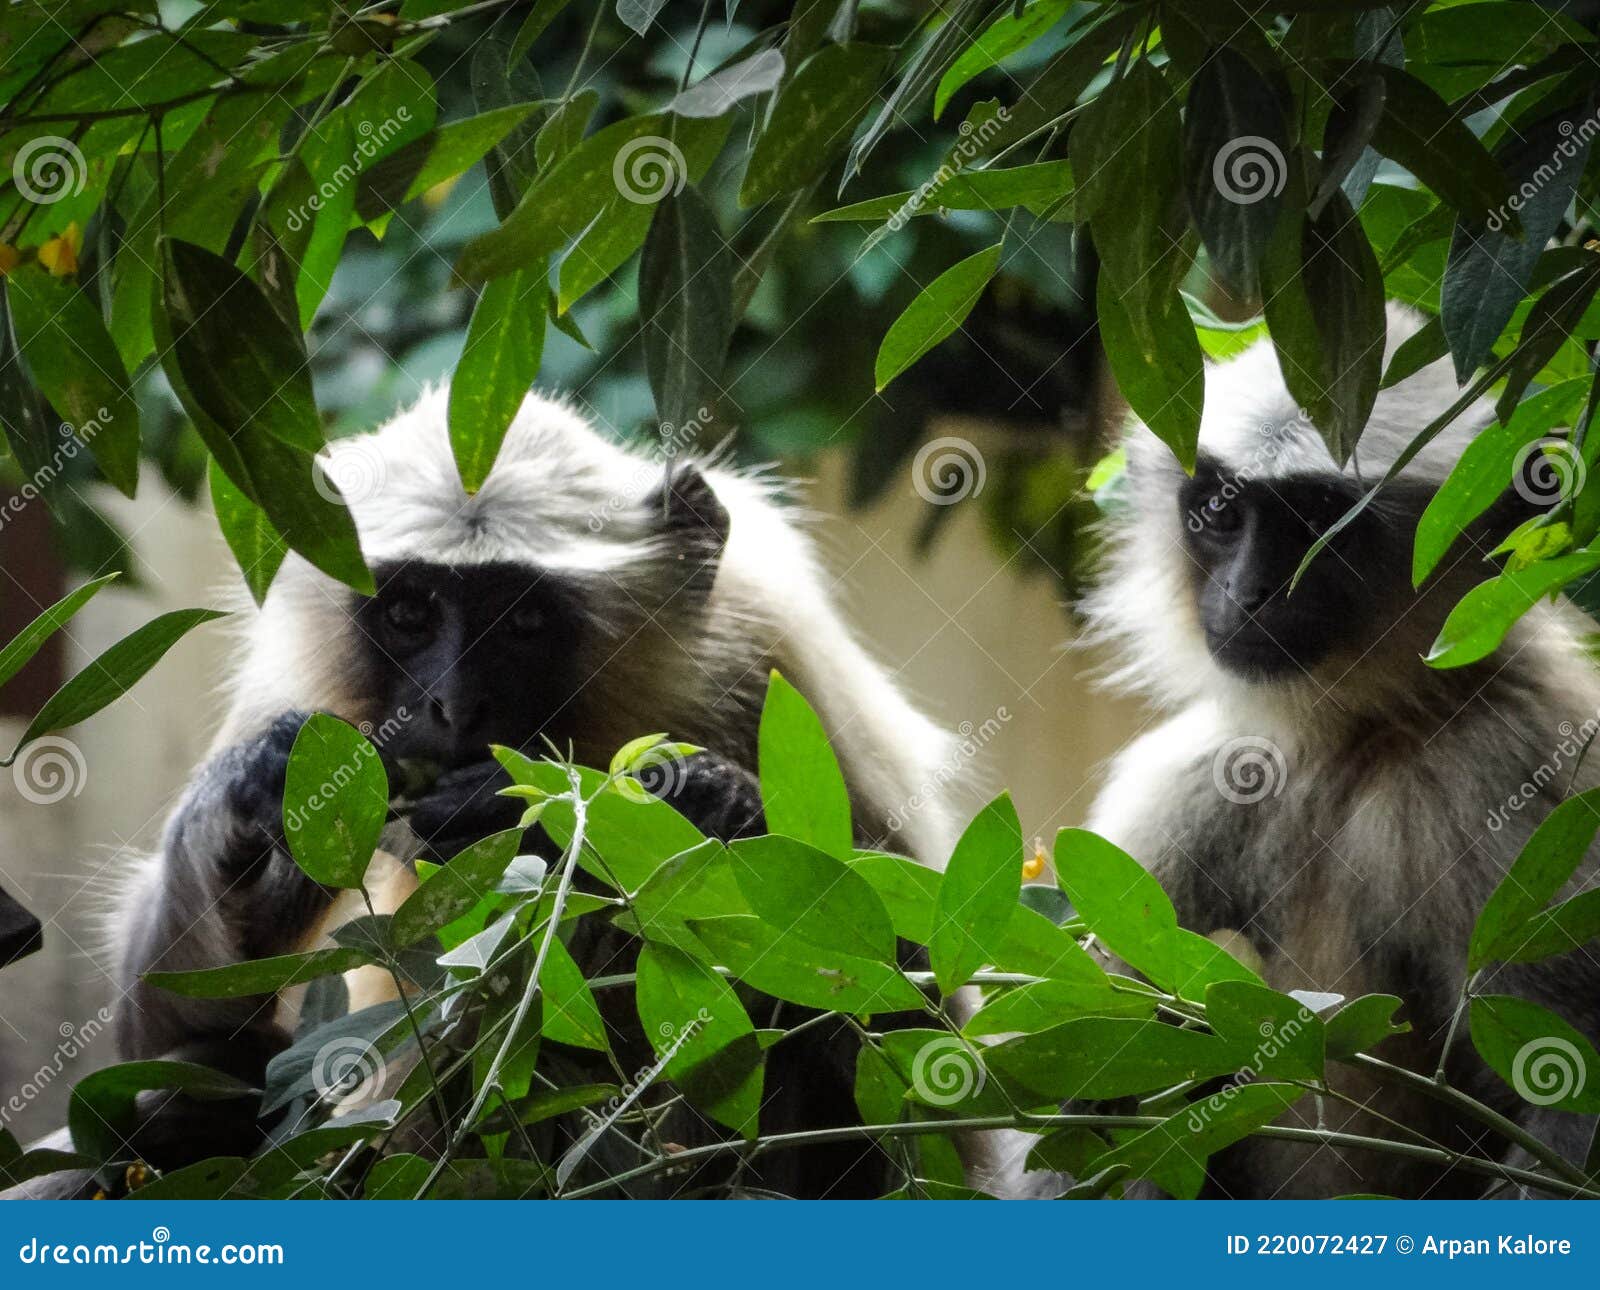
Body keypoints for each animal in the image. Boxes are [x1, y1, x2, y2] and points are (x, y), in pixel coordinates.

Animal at [17, 389, 997, 1199]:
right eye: (410, 613)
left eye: (521, 622)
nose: (456, 704)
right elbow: (167, 1038)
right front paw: (253, 787)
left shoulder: (781, 656)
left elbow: (930, 1045)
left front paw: (680, 809)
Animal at [1046, 304, 1600, 1199]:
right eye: (1223, 516)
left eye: (1317, 531)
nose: (1251, 592)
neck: (1358, 737)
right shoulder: (1200, 776)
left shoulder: (1505, 765)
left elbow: (1565, 1097)